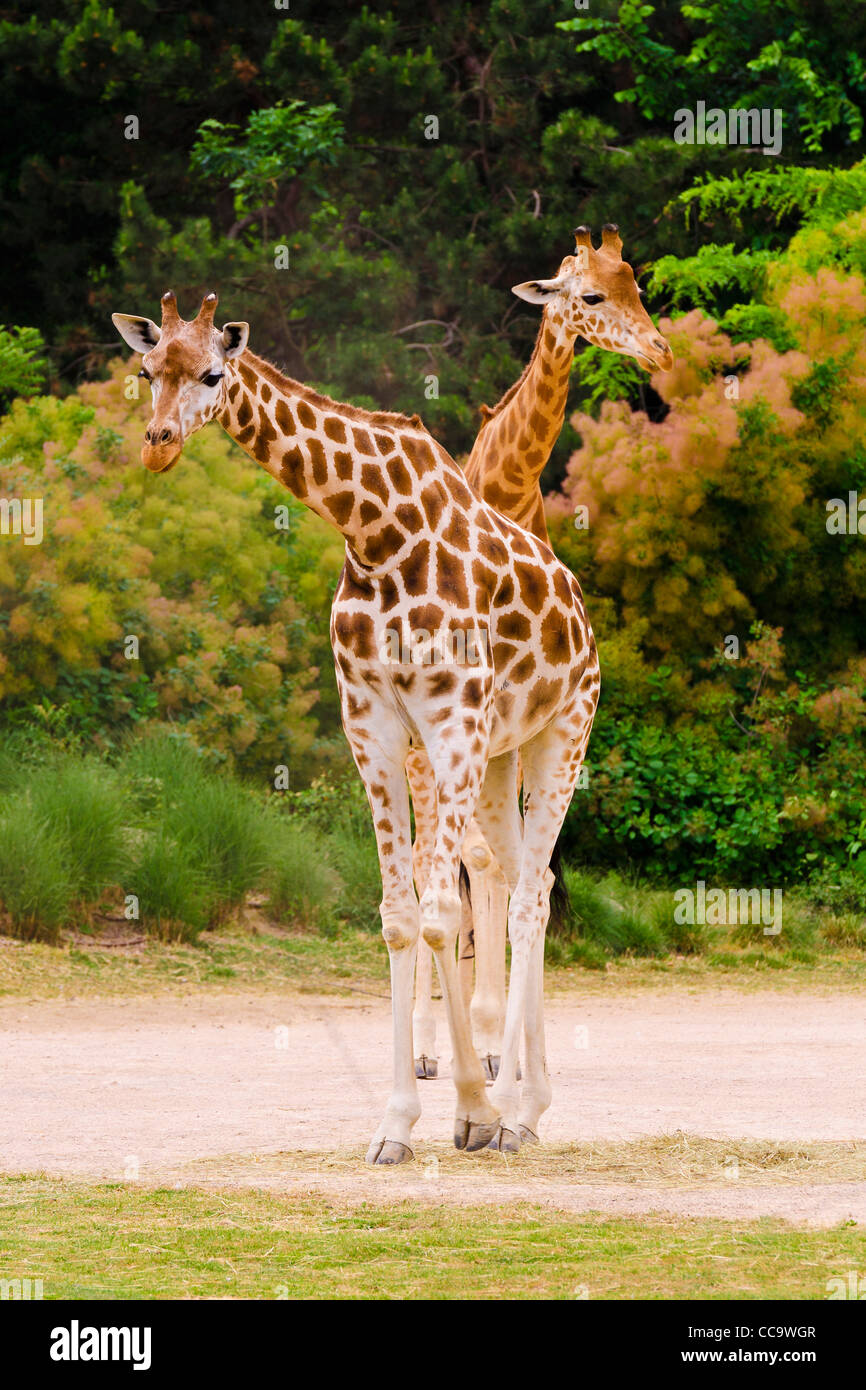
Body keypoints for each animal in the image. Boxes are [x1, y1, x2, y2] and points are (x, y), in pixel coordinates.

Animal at [112, 289, 601, 1159]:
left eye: (212, 373)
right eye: (147, 370)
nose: (159, 445)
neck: (374, 532)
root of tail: (580, 608)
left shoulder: (449, 722)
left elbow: (439, 914)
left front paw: (474, 1109)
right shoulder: (370, 722)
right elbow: (400, 919)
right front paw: (401, 1122)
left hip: (562, 733)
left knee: (527, 899)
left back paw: (517, 1111)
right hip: (499, 759)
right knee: (528, 881)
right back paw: (533, 1102)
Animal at [411, 224, 674, 1081]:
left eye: (636, 285)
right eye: (588, 294)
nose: (659, 351)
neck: (507, 484)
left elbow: (517, 866)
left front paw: (500, 1039)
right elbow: (478, 867)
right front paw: (476, 1037)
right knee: (442, 862)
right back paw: (432, 1044)